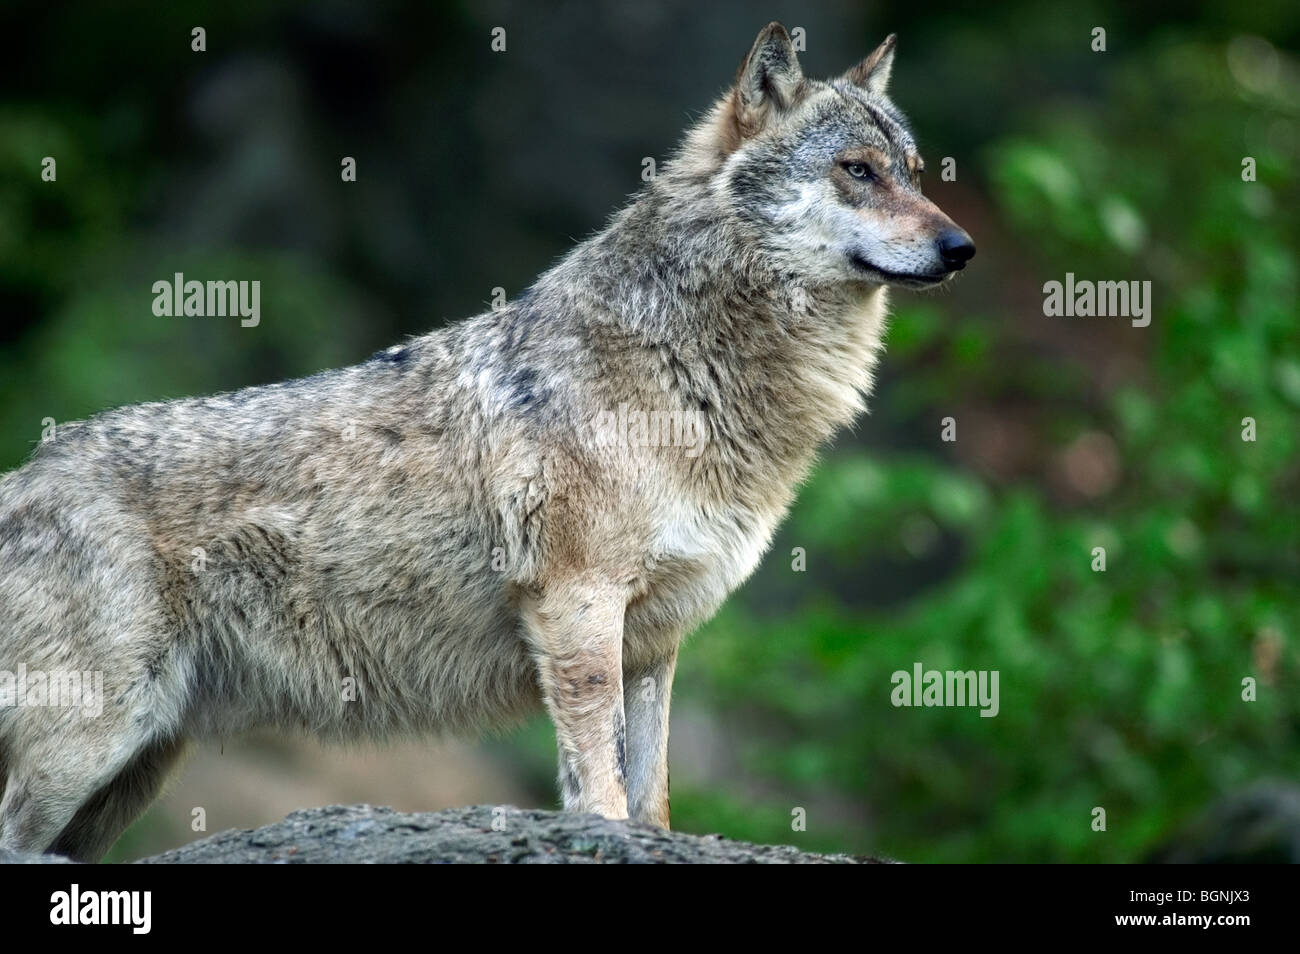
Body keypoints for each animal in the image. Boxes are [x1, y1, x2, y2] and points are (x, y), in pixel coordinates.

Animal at [0, 22, 973, 861]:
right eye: (857, 171)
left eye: (915, 172)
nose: (961, 246)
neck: (689, 372)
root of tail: (23, 472)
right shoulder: (579, 608)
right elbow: (598, 788)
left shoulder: (656, 642)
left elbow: (653, 800)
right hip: (84, 752)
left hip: (130, 774)